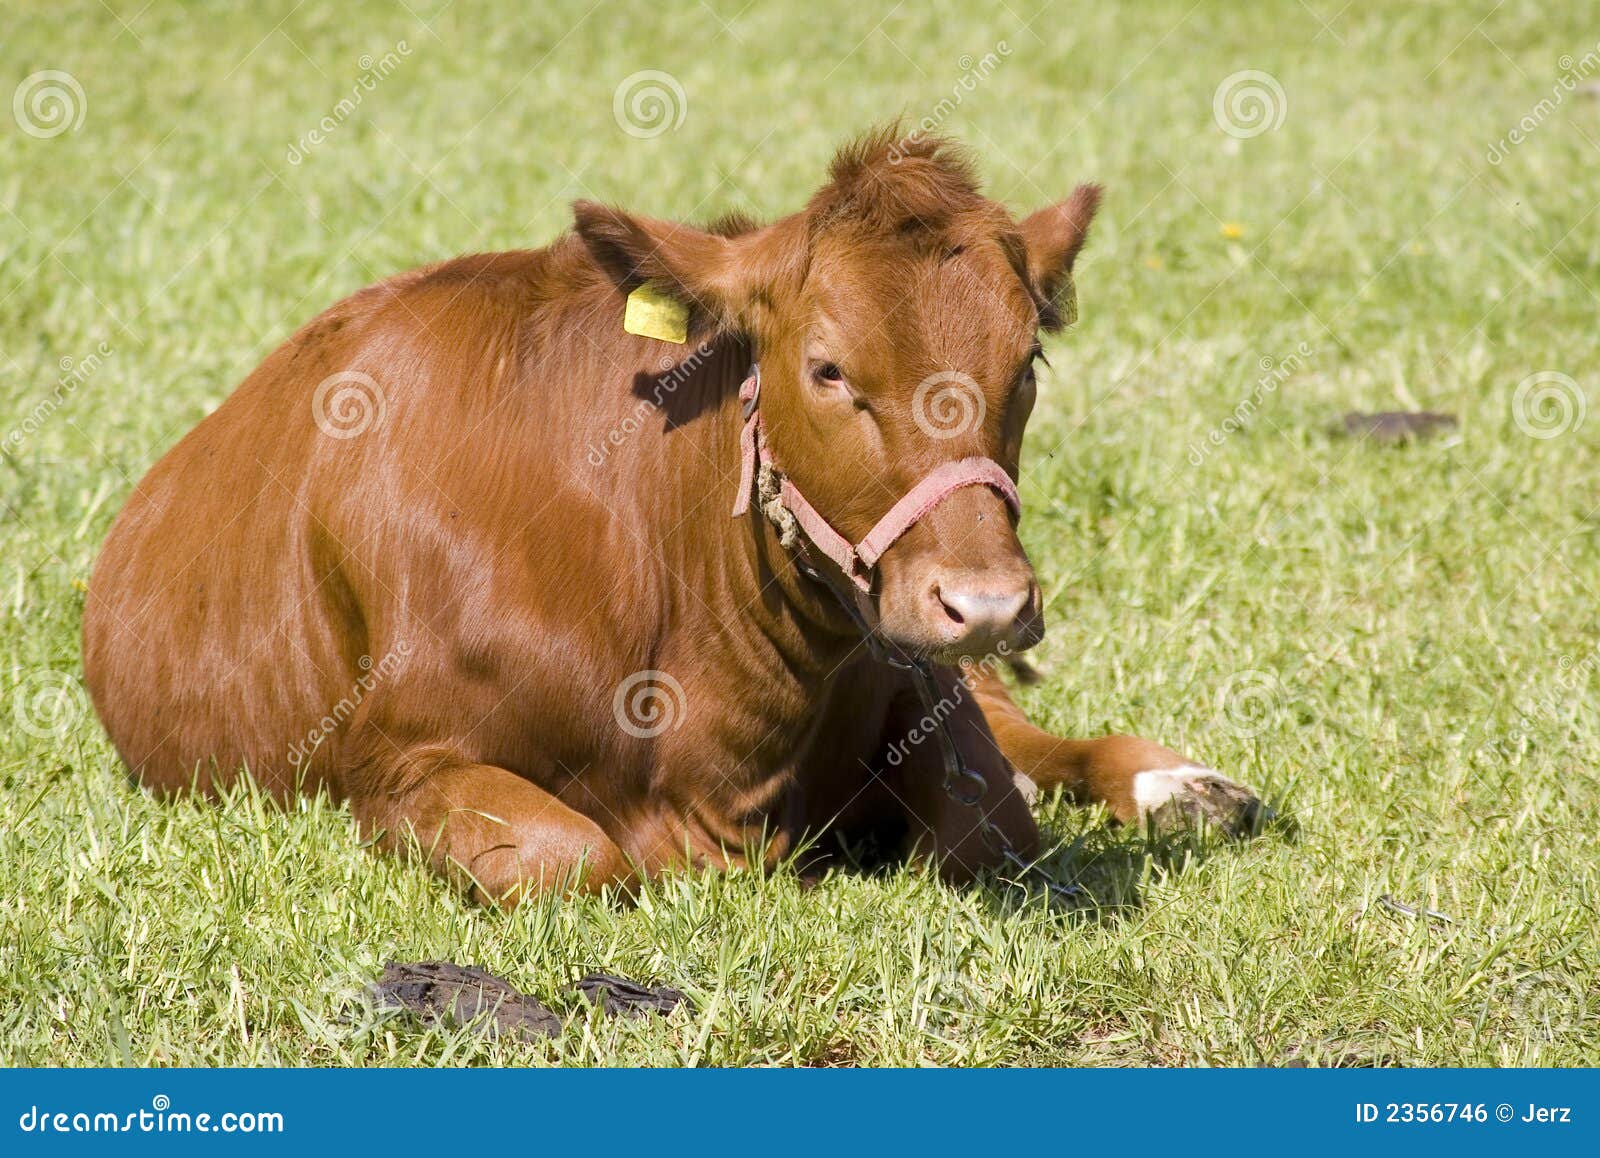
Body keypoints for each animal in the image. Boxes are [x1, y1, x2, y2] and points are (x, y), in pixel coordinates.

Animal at [82, 129, 1261, 905]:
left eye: (1026, 365)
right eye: (827, 369)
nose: (987, 605)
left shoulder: (919, 679)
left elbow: (987, 819)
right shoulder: (390, 762)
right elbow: (569, 855)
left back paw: (1180, 786)